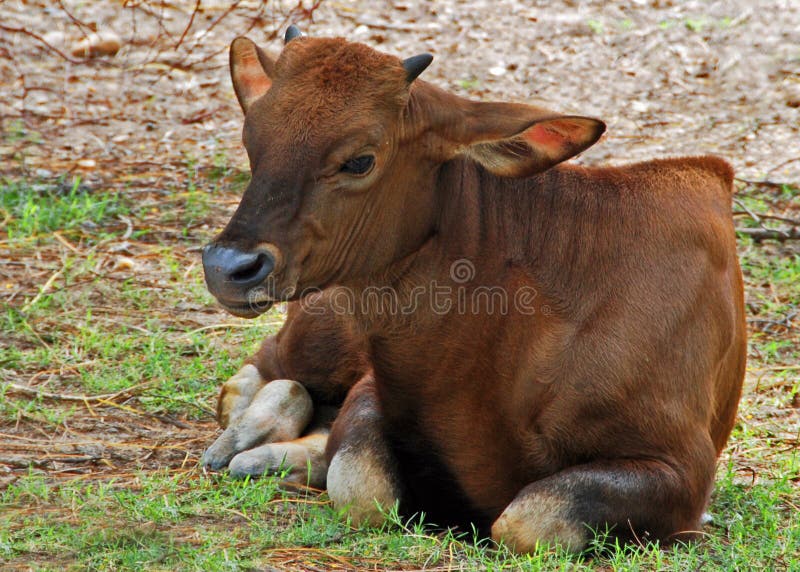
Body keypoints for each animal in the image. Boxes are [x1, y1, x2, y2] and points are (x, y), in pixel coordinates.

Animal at [200, 26, 746, 552]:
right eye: (252, 139)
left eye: (360, 160)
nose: (229, 266)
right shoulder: (375, 386)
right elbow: (364, 487)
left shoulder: (680, 468)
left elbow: (525, 522)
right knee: (269, 369)